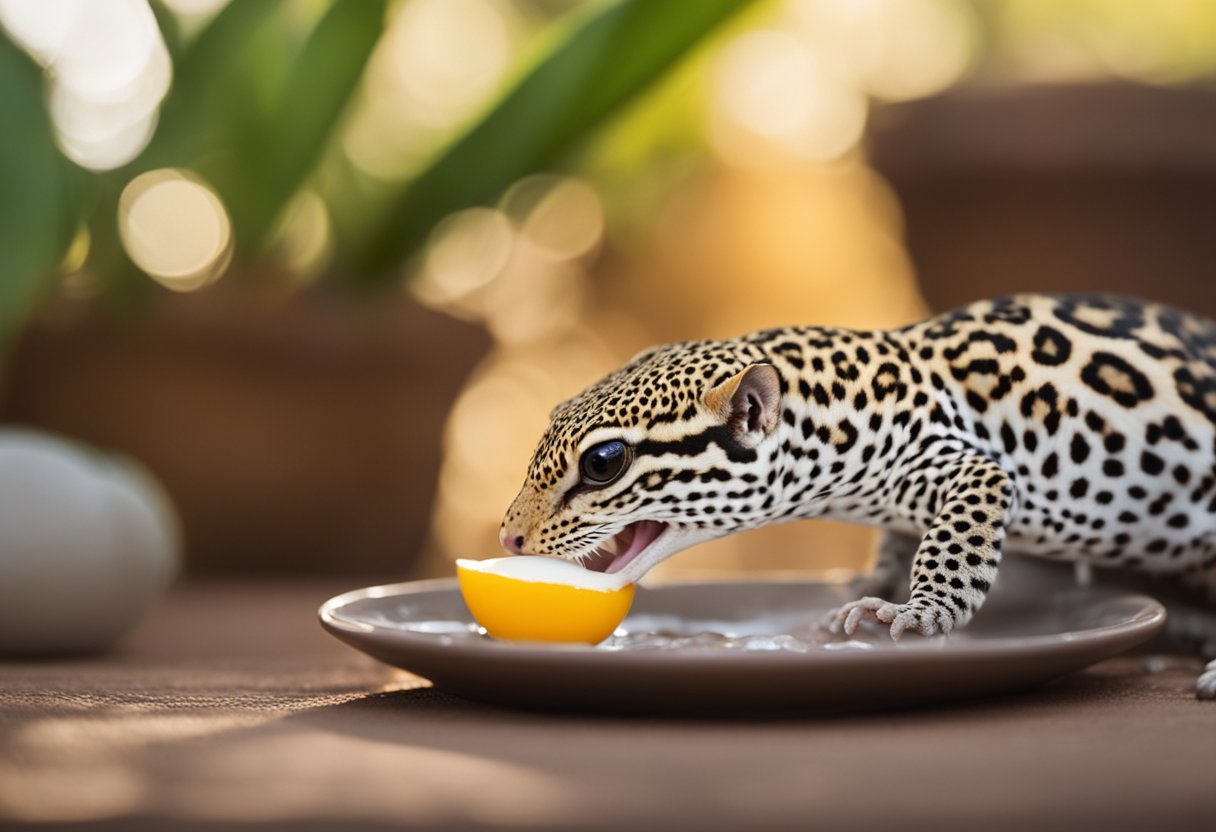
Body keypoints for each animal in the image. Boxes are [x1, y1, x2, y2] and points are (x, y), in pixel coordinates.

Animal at [501, 294, 1216, 698]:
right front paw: (860, 594)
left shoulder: (972, 469)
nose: (508, 535)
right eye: (552, 420)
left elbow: (953, 546)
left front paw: (923, 612)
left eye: (604, 461)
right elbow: (899, 546)